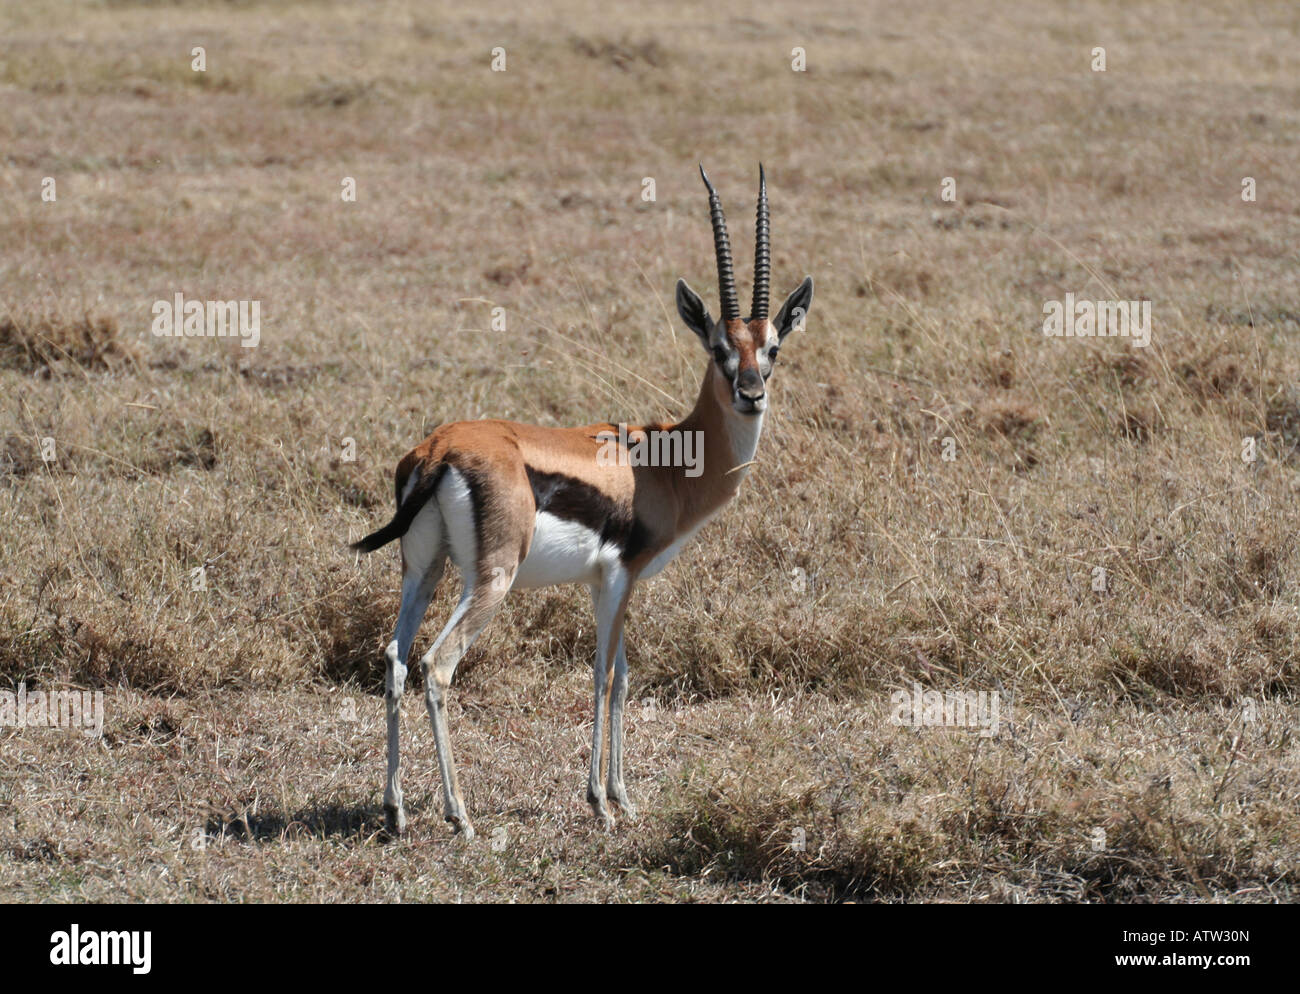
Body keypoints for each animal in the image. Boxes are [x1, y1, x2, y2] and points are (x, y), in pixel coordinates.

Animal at [352, 165, 813, 838]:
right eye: (719, 349)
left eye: (773, 347)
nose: (751, 394)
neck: (664, 460)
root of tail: (440, 448)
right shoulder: (620, 577)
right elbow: (604, 677)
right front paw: (600, 801)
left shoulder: (610, 583)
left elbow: (621, 679)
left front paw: (624, 796)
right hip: (490, 579)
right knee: (437, 666)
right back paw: (460, 816)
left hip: (424, 570)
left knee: (393, 659)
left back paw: (396, 811)